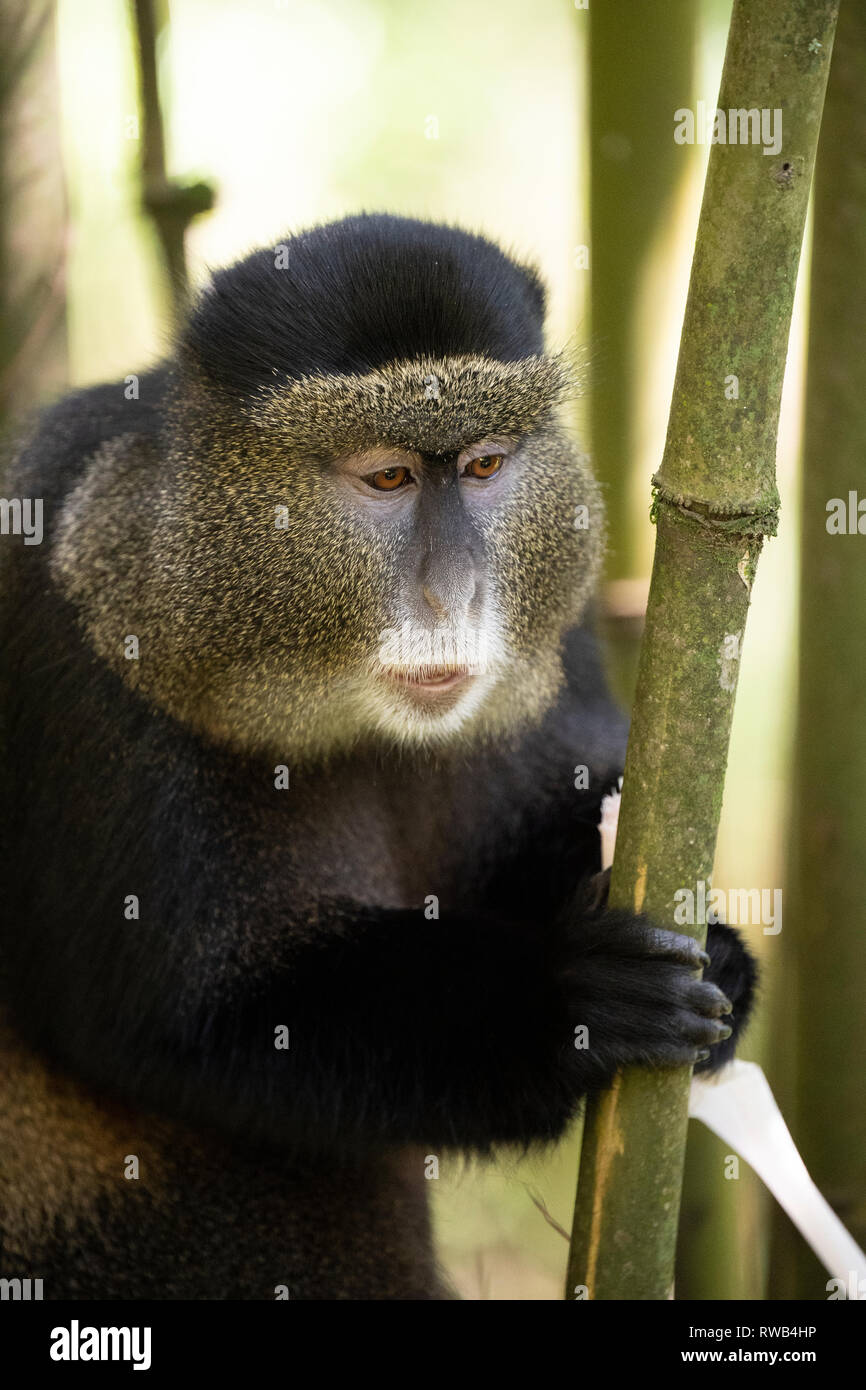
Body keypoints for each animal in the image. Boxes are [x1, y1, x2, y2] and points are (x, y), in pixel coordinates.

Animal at [0, 213, 757, 1300]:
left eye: (484, 465)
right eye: (388, 477)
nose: (456, 594)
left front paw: (726, 961)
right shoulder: (76, 638)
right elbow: (176, 1025)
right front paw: (567, 996)